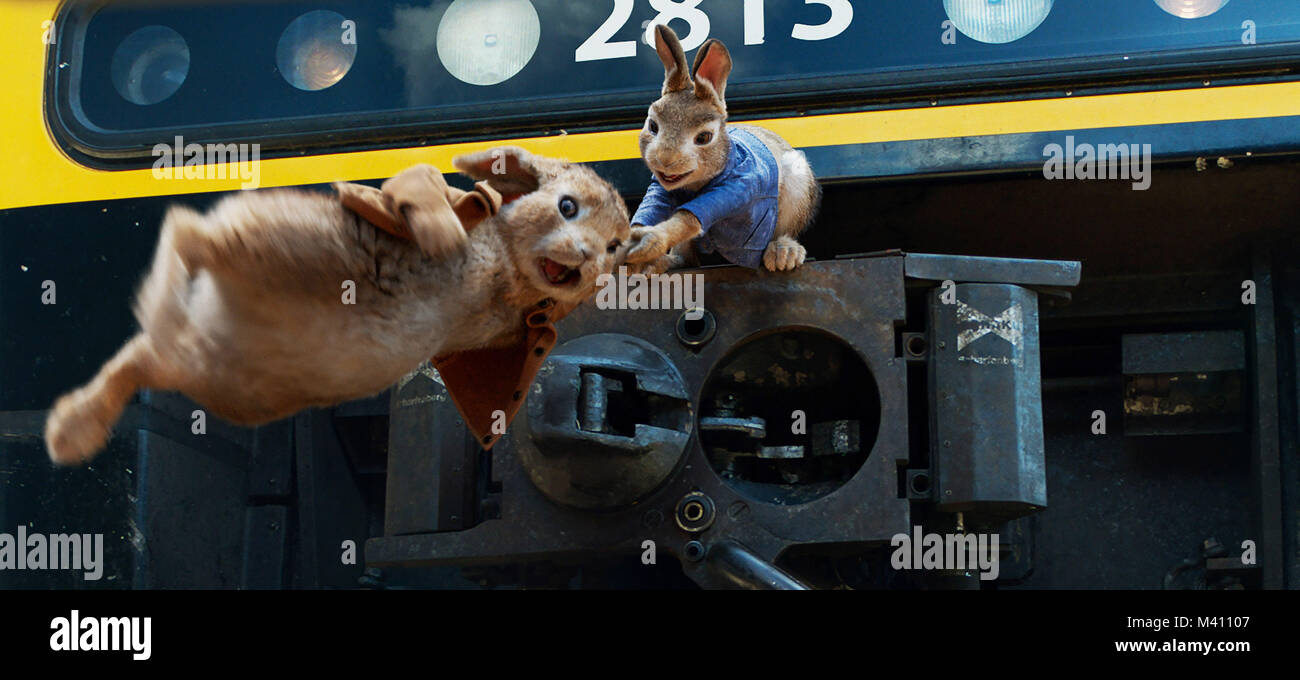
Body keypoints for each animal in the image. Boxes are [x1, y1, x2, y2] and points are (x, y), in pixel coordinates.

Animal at [43, 147, 630, 466]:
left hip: (220, 370)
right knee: (186, 231)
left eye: (615, 246)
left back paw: (72, 431)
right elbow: (424, 190)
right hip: (283, 243)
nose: (585, 260)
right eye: (566, 206)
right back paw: (157, 315)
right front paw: (443, 233)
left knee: (142, 357)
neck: (508, 270)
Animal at [625, 24, 821, 274]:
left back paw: (784, 253)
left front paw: (649, 241)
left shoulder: (738, 185)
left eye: (704, 137)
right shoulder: (660, 190)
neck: (695, 184)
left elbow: (689, 218)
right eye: (652, 126)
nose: (665, 160)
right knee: (686, 259)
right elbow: (651, 208)